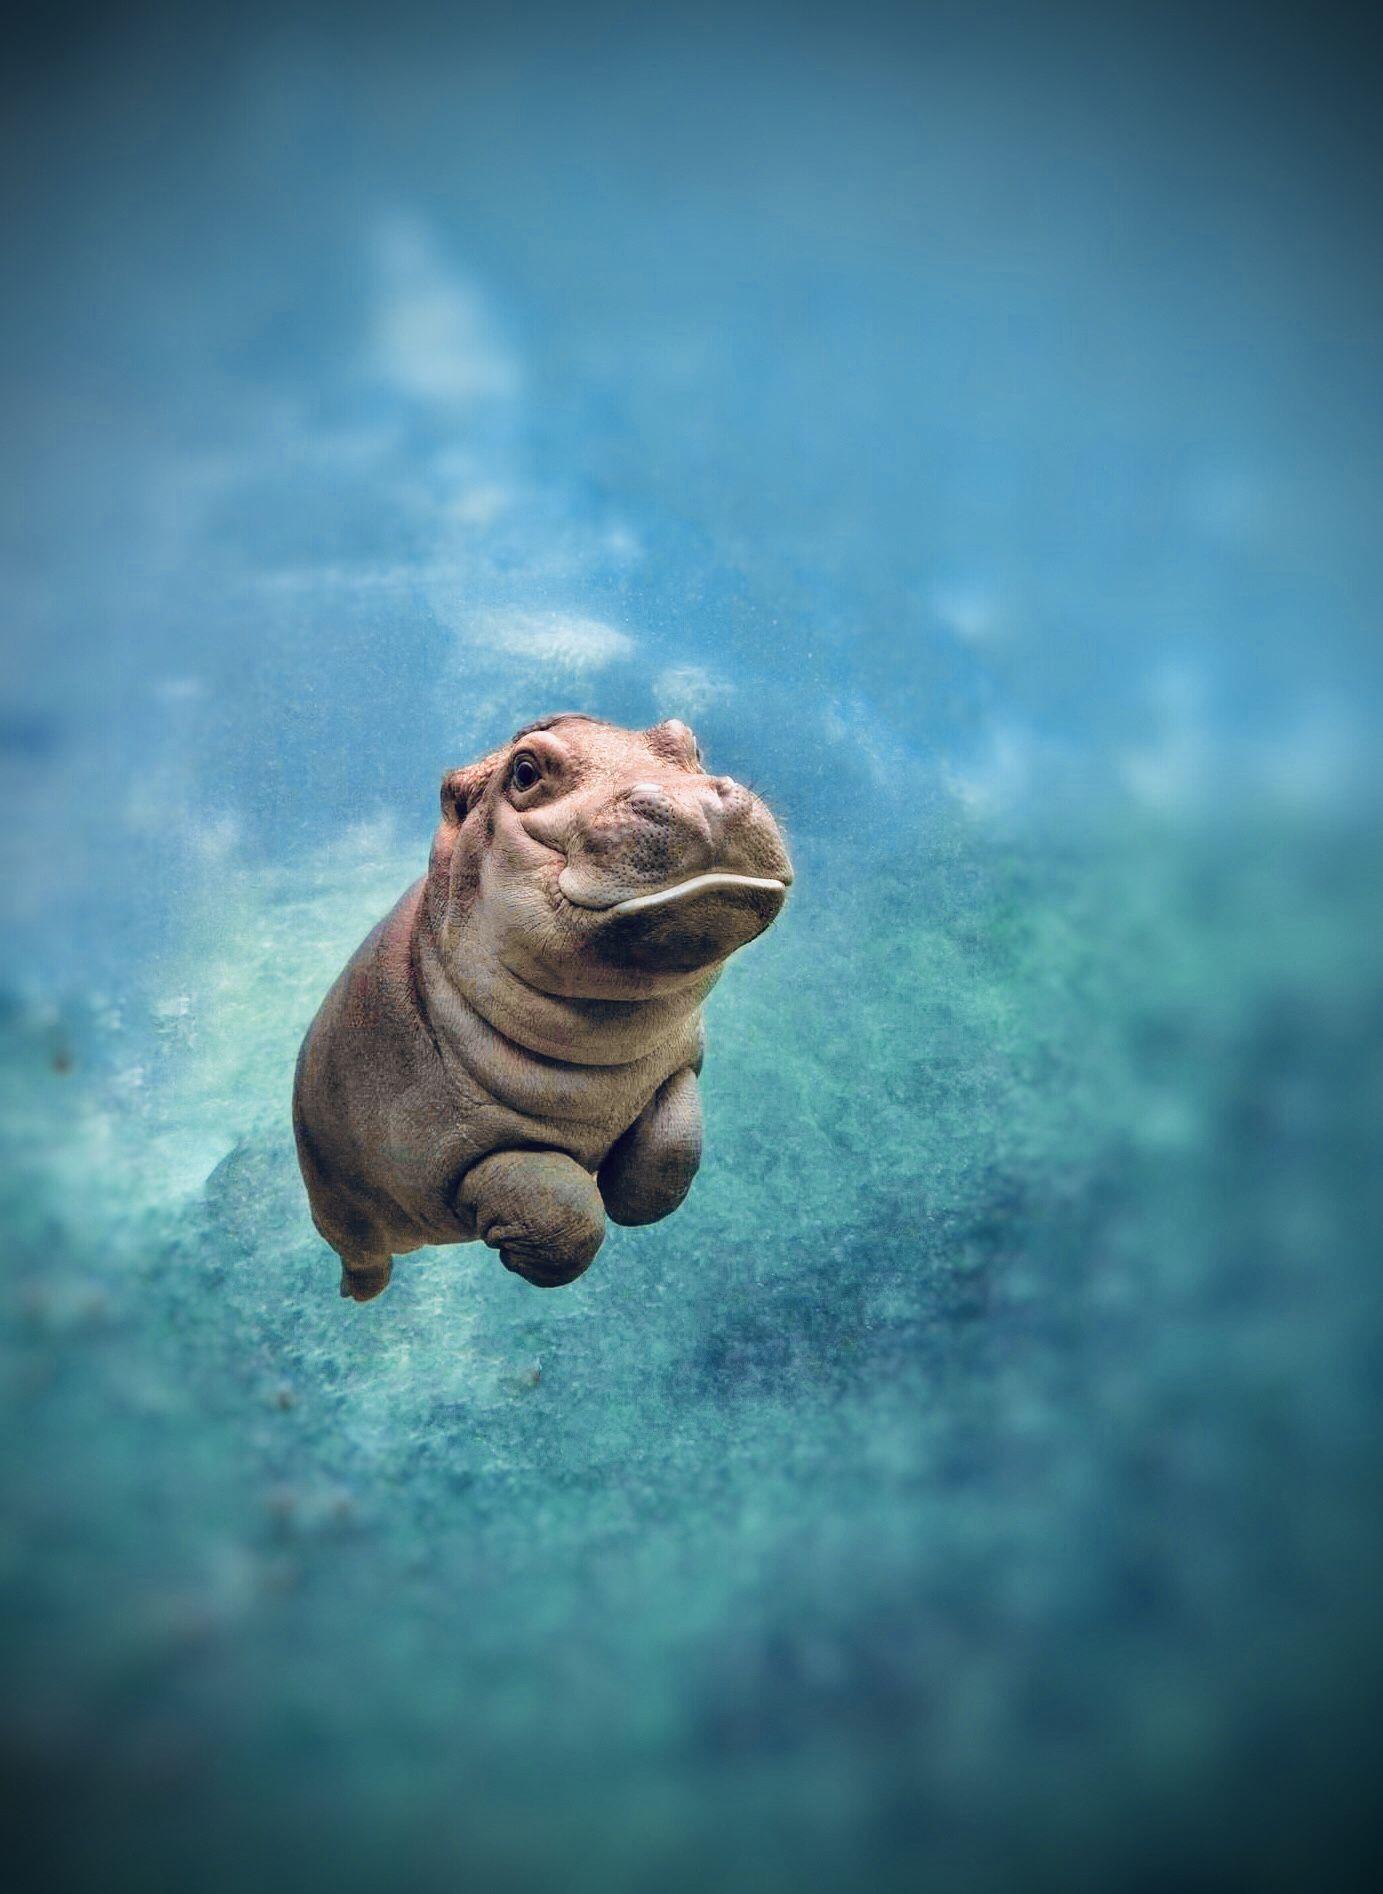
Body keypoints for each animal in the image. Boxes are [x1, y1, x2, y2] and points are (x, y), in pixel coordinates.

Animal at [292, 713, 792, 1300]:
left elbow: (674, 1148)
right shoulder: (447, 1150)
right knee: (363, 1255)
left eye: (688, 742)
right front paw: (524, 1250)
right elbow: (564, 1210)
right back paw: (359, 1292)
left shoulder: (677, 1065)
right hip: (338, 1209)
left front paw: (629, 1199)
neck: (605, 1044)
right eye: (525, 772)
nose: (696, 800)